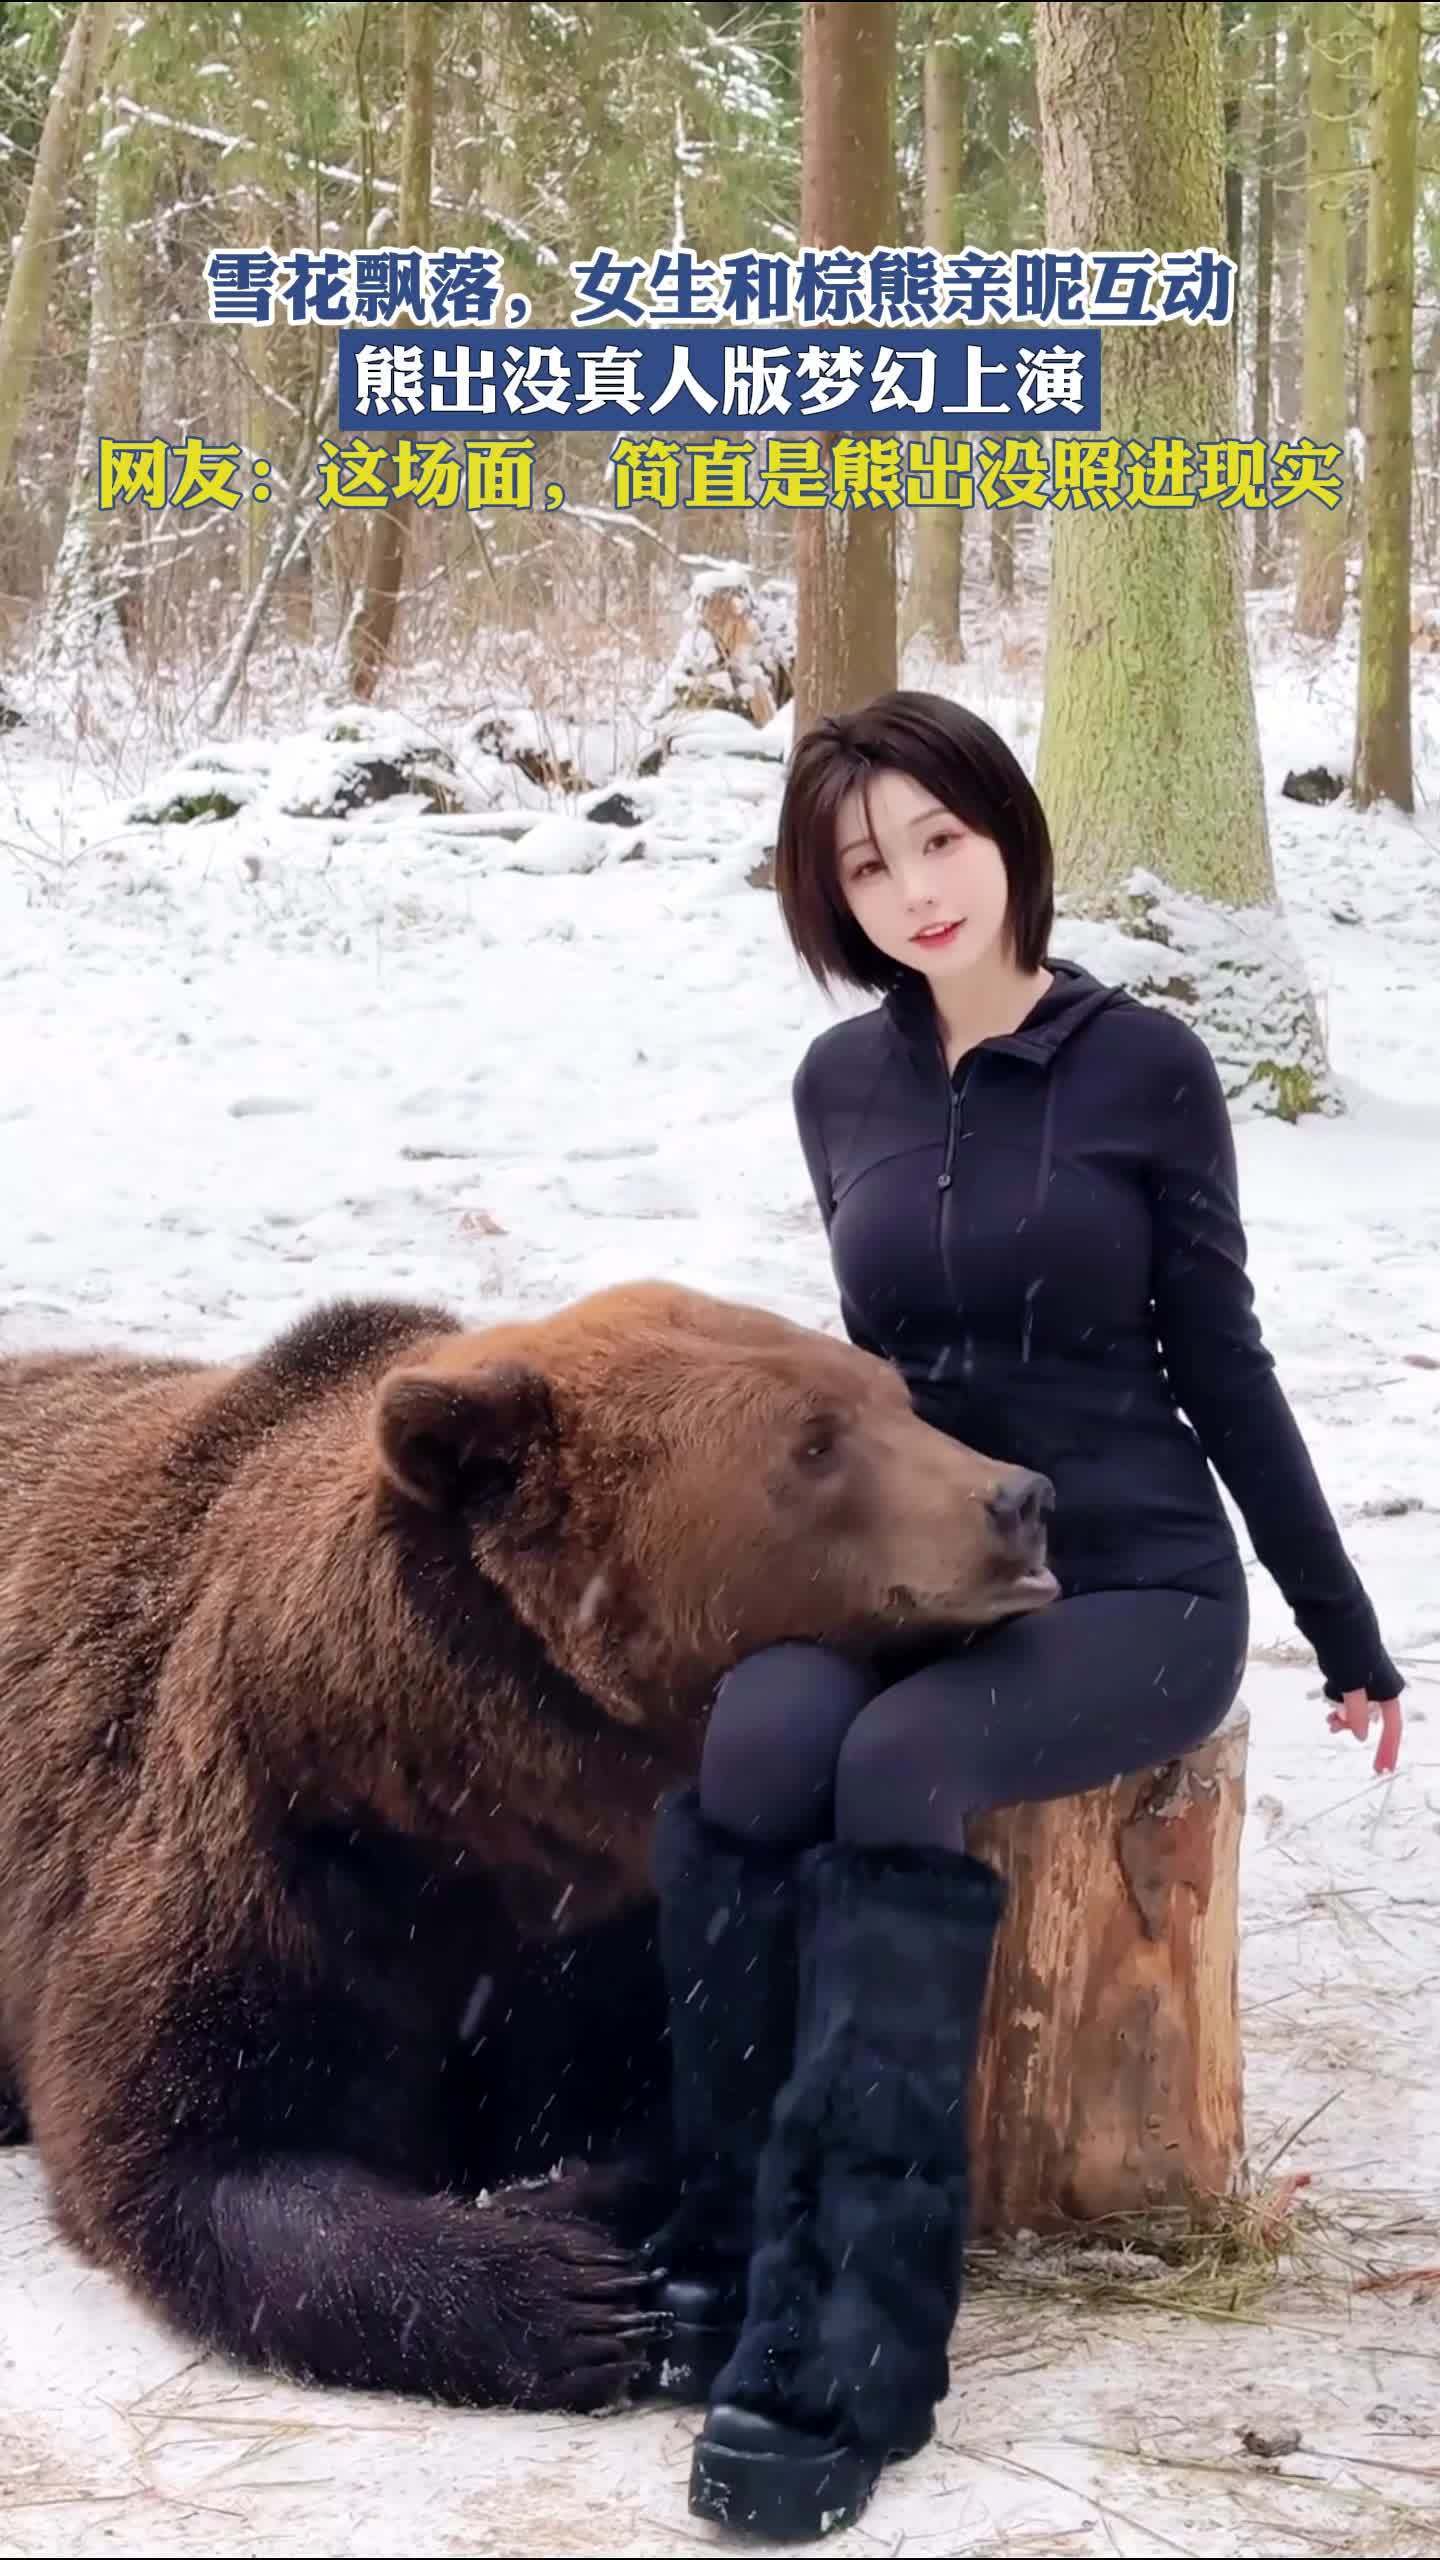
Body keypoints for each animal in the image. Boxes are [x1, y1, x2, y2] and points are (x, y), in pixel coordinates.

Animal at [0, 1280, 1056, 2412]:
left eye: (892, 1395)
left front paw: (576, 2216)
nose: (1018, 1498)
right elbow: (185, 2135)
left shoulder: (613, 1914)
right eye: (814, 1442)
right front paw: (566, 2295)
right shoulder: (274, 1852)